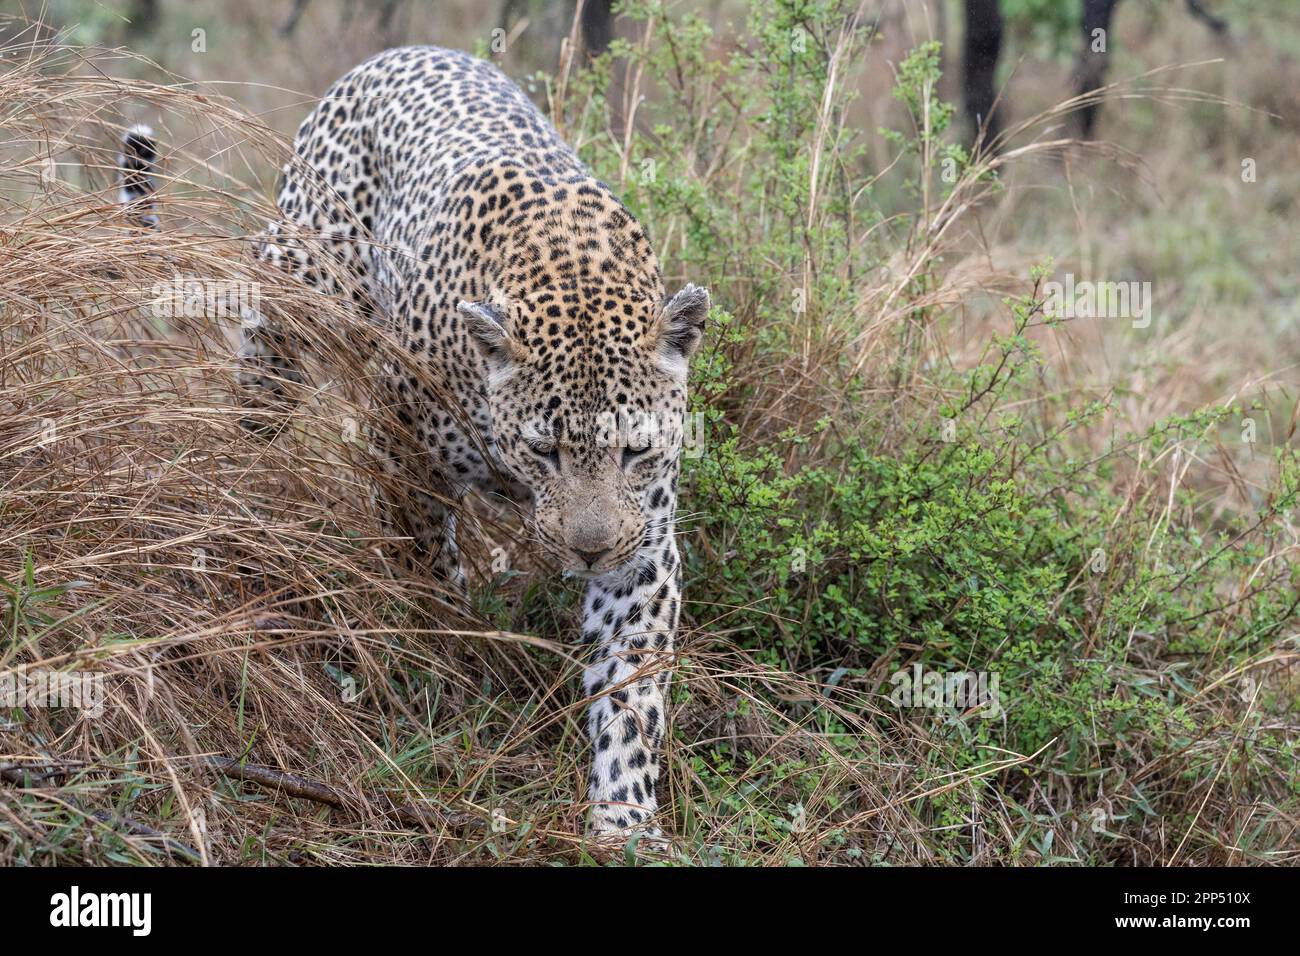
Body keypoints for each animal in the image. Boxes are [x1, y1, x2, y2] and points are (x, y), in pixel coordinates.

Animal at [119, 46, 710, 841]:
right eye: (545, 449)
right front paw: (443, 662)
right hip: (302, 290)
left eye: (635, 451)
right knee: (260, 352)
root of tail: (393, 56)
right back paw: (241, 471)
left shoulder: (644, 546)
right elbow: (424, 569)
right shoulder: (402, 449)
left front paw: (626, 818)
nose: (588, 551)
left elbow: (632, 690)